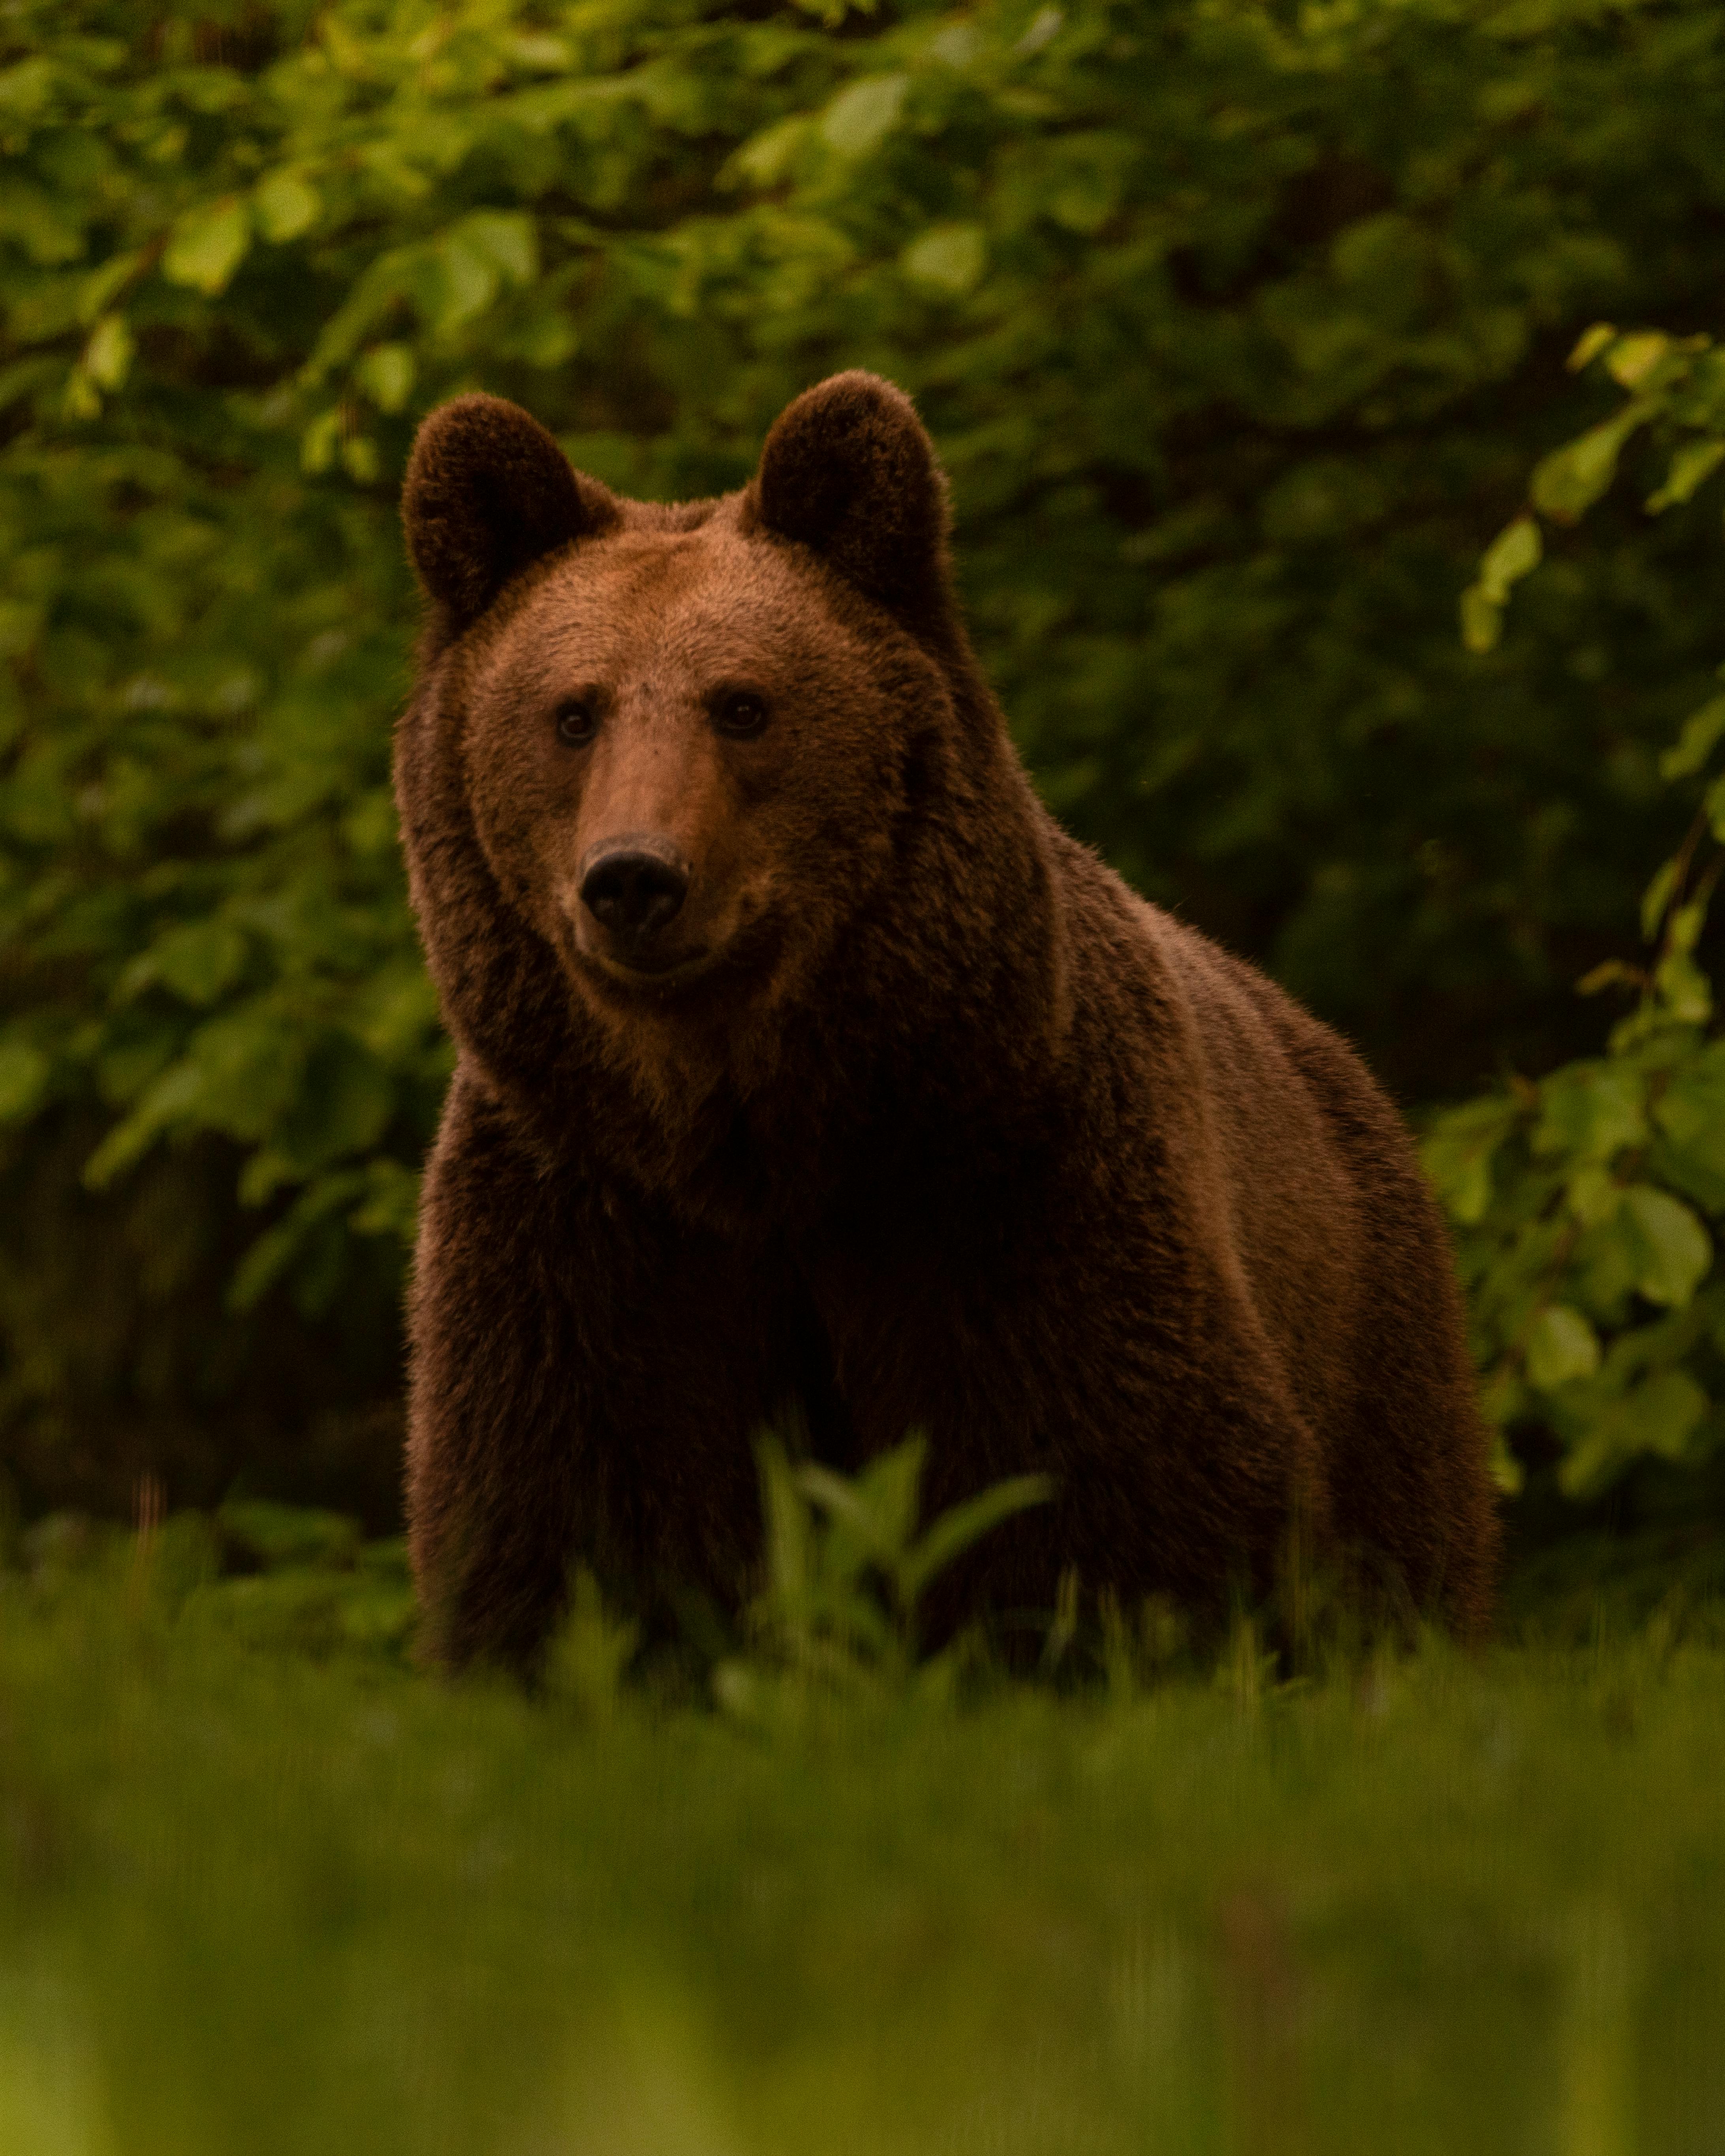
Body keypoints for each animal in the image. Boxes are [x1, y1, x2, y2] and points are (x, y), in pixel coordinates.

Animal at [395, 370, 1499, 1670]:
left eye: (742, 704)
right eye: (573, 713)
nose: (633, 878)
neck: (754, 1140)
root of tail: (1337, 1055)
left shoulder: (999, 1187)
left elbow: (1112, 1497)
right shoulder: (591, 1229)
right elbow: (577, 1521)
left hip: (1372, 1332)